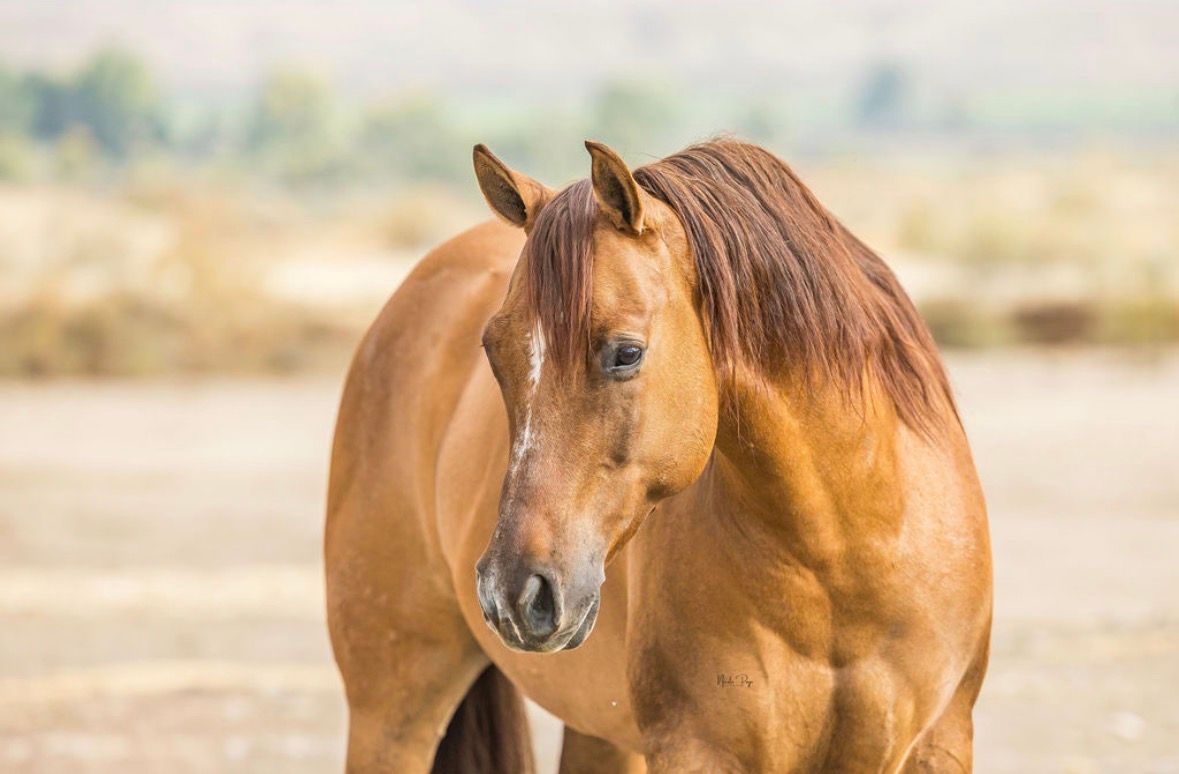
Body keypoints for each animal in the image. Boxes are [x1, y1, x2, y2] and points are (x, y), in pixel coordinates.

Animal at [325, 138, 992, 773]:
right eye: (493, 350)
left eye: (625, 353)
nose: (512, 593)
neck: (845, 555)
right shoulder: (696, 749)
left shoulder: (940, 743)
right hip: (391, 710)